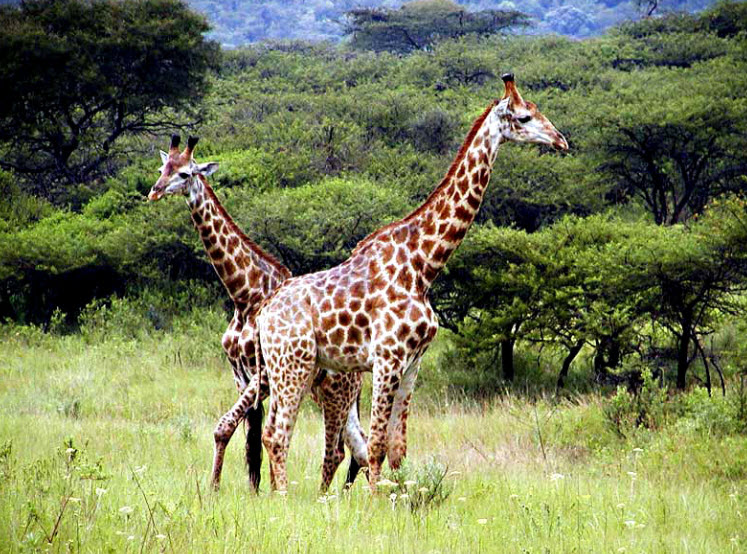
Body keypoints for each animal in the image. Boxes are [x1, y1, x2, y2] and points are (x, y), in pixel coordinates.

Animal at [147, 135, 368, 491]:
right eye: (162, 168)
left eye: (185, 173)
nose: (155, 191)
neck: (245, 295)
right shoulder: (240, 374)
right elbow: (250, 441)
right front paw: (250, 490)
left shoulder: (260, 377)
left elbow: (229, 428)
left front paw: (219, 488)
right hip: (323, 391)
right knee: (358, 446)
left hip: (334, 389)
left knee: (342, 450)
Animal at [243, 74, 569, 492]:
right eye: (525, 117)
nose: (560, 140)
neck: (422, 265)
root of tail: (264, 313)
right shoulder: (387, 358)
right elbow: (377, 444)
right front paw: (374, 502)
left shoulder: (413, 363)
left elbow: (398, 448)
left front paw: (397, 498)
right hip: (293, 364)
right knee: (278, 434)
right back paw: (283, 498)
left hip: (301, 367)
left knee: (274, 431)